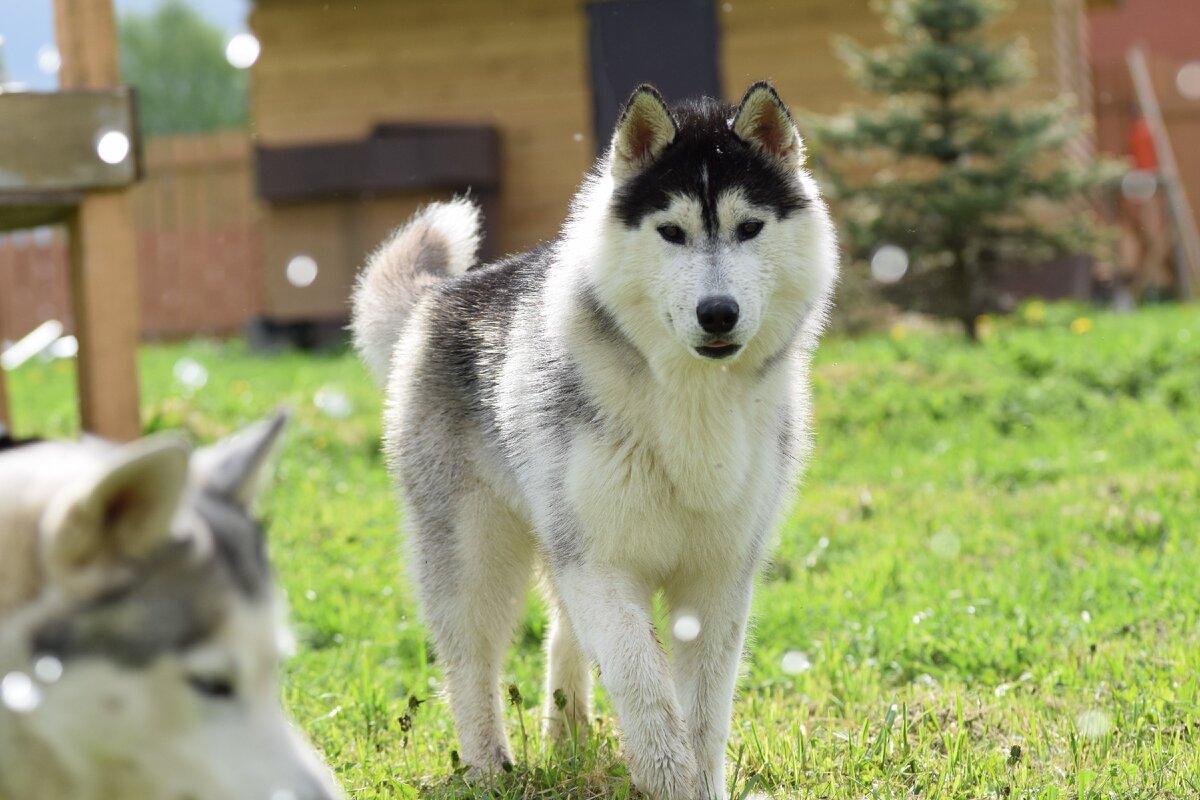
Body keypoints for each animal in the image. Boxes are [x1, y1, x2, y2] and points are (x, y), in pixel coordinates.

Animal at [350, 82, 840, 800]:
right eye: (671, 232)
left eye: (750, 227)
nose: (717, 313)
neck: (692, 399)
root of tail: (442, 295)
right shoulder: (602, 562)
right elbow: (642, 685)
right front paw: (667, 779)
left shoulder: (720, 573)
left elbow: (703, 710)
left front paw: (699, 782)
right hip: (476, 550)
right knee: (472, 659)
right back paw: (489, 766)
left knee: (561, 634)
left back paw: (570, 737)